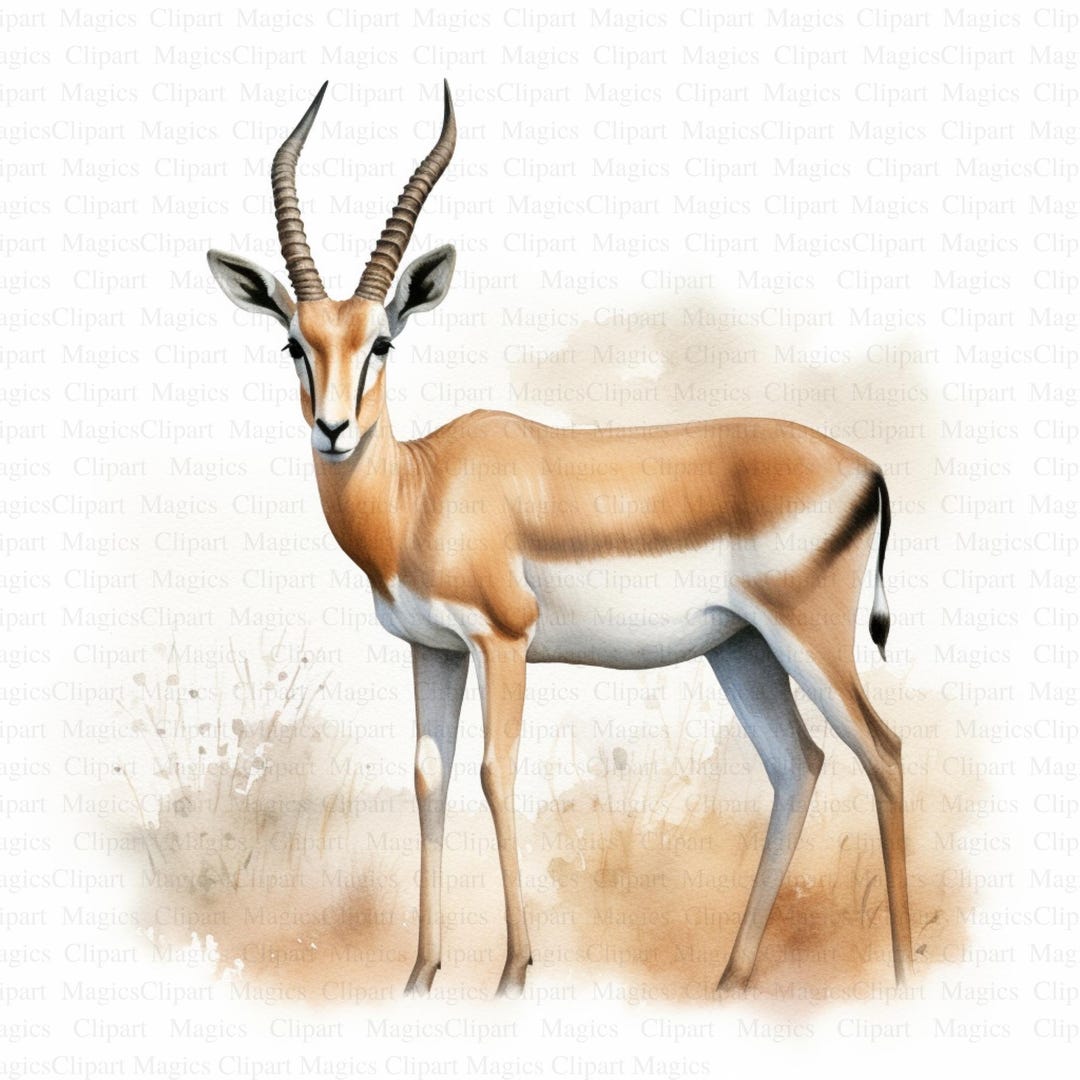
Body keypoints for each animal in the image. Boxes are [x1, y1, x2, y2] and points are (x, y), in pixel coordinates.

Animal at [206, 82, 914, 997]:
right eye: (296, 343)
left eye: (382, 342)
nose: (333, 430)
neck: (423, 489)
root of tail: (866, 466)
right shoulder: (432, 649)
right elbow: (429, 776)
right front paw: (420, 974)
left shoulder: (502, 640)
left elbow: (494, 771)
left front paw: (513, 970)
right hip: (743, 650)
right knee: (800, 766)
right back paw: (729, 980)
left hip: (810, 640)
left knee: (884, 752)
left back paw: (901, 974)